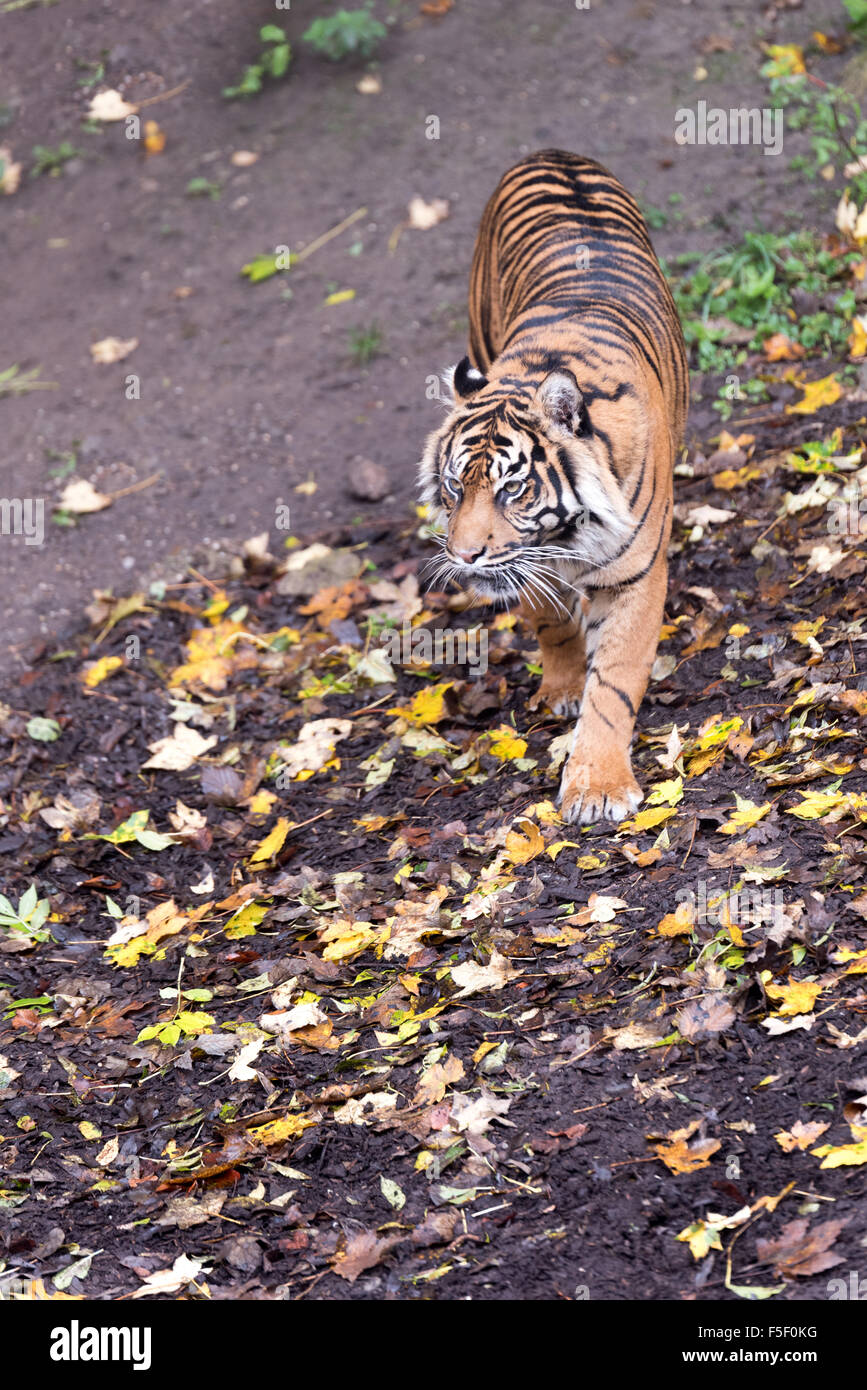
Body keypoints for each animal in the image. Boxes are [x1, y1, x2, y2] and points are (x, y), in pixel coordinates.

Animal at [419, 149, 689, 824]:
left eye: (512, 488)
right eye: (454, 487)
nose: (464, 556)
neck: (568, 533)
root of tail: (552, 154)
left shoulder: (635, 577)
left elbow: (615, 679)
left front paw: (597, 786)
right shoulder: (526, 563)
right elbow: (552, 624)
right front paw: (564, 689)